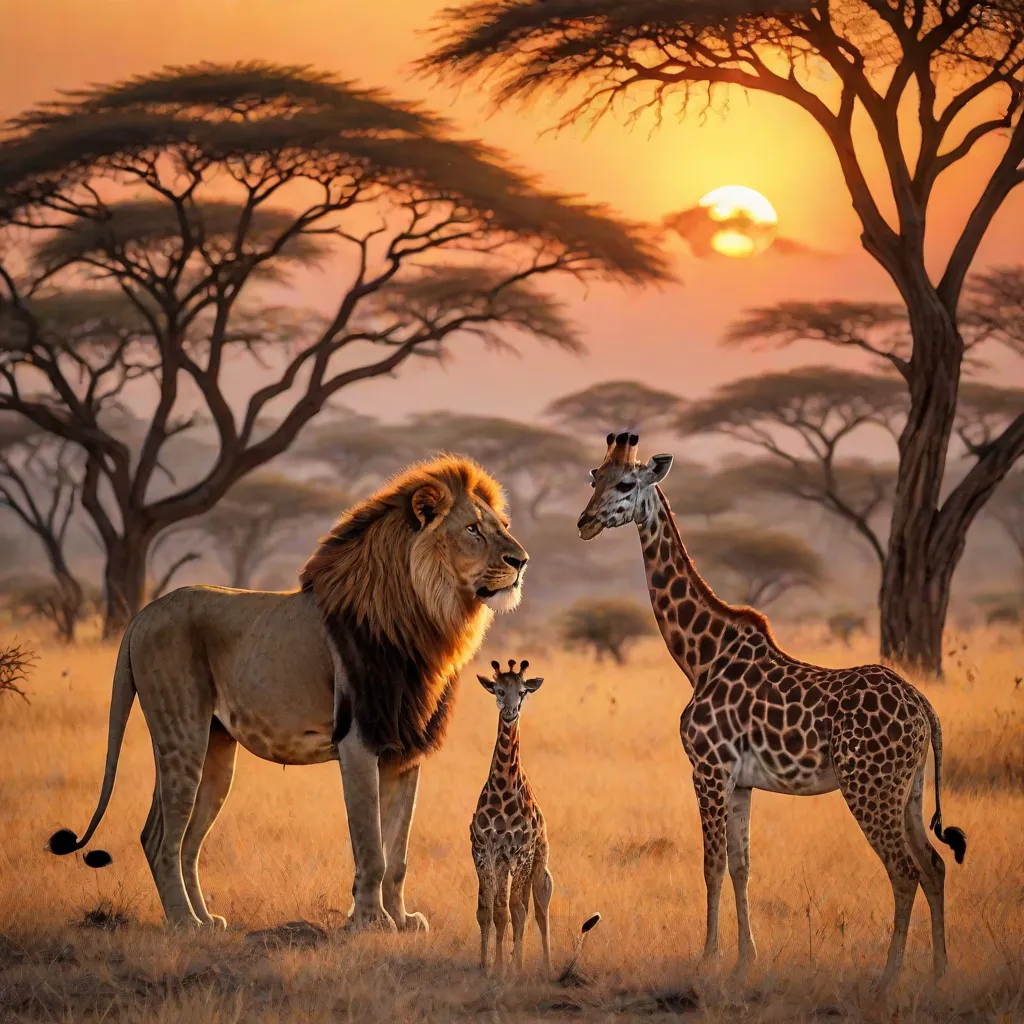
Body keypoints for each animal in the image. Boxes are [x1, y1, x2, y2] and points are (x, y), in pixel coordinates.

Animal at [48, 454, 529, 932]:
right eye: (473, 529)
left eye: (503, 524)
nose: (521, 560)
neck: (424, 620)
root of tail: (143, 613)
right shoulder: (358, 740)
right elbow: (371, 848)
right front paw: (371, 923)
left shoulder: (404, 751)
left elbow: (398, 853)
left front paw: (401, 919)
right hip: (181, 731)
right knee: (163, 837)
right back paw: (184, 923)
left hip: (215, 751)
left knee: (181, 841)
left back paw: (207, 921)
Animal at [471, 658, 553, 979]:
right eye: (499, 690)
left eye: (523, 692)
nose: (510, 713)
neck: (504, 786)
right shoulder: (485, 851)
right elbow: (490, 910)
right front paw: (489, 965)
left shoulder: (522, 852)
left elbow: (517, 912)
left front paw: (512, 968)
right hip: (506, 864)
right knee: (512, 907)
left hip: (539, 863)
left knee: (539, 909)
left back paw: (547, 965)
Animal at [576, 431, 967, 988]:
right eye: (594, 477)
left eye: (626, 483)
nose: (584, 522)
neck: (701, 656)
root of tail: (921, 705)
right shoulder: (741, 782)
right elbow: (742, 866)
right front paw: (746, 958)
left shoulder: (708, 769)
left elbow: (711, 864)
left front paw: (708, 958)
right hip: (907, 789)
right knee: (933, 866)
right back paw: (939, 971)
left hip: (868, 786)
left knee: (904, 870)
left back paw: (888, 977)